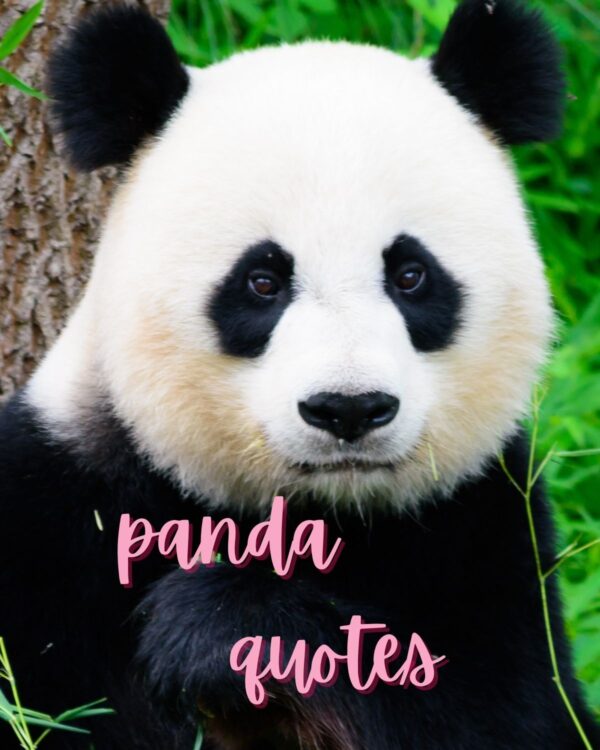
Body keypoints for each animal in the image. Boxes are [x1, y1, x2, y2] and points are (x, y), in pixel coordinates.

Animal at [0, 0, 598, 748]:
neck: (314, 515)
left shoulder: (482, 523)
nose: (349, 409)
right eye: (262, 281)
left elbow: (509, 714)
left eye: (411, 275)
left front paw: (224, 631)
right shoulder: (57, 513)